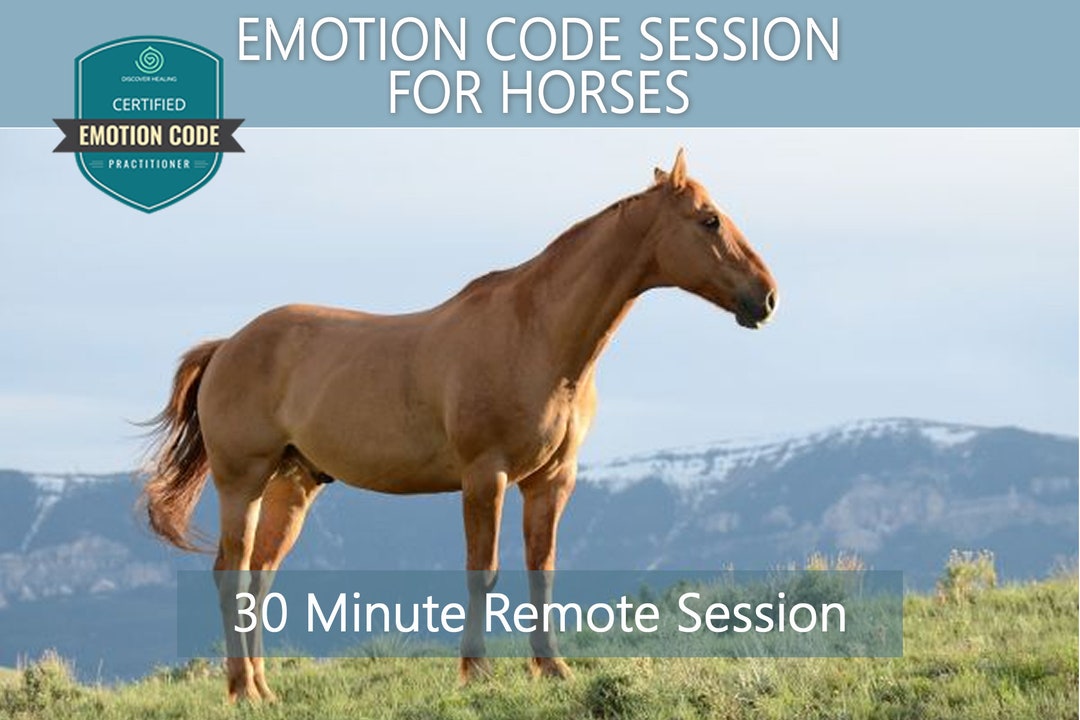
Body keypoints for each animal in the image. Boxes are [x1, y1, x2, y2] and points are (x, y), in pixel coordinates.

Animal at [141, 149, 777, 702]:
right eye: (709, 219)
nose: (767, 297)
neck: (537, 335)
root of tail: (228, 345)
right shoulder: (484, 477)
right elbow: (483, 572)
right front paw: (476, 673)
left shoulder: (551, 481)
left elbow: (542, 570)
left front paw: (552, 669)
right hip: (242, 482)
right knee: (231, 576)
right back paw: (243, 691)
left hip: (291, 487)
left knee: (258, 580)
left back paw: (263, 689)